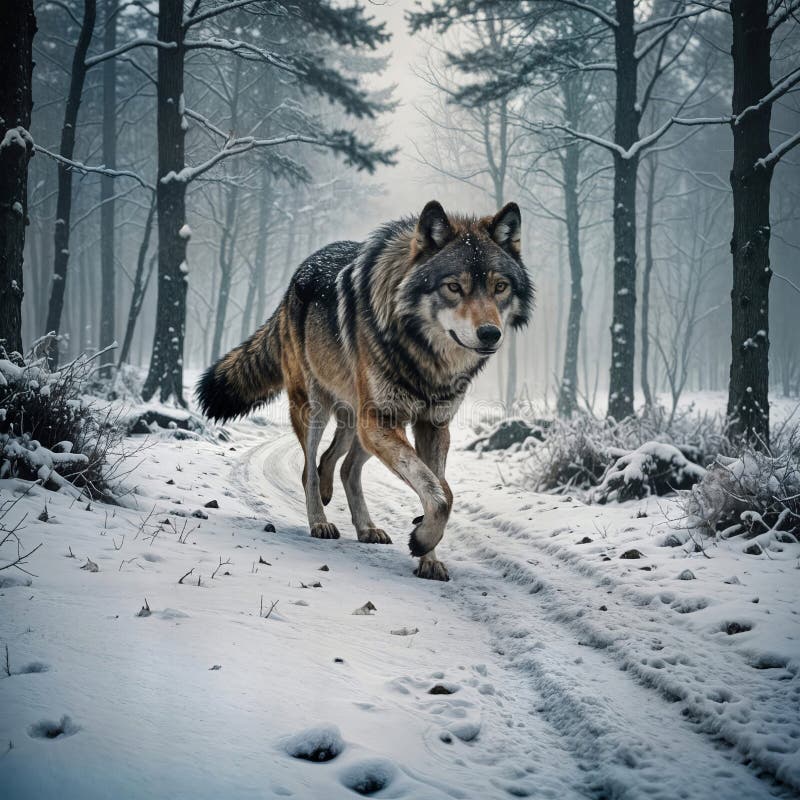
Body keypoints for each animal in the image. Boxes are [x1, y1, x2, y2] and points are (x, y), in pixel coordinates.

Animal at [197, 200, 533, 580]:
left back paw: (363, 524)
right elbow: (439, 492)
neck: (424, 357)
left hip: (356, 425)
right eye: (453, 287)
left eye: (500, 287)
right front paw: (420, 539)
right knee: (309, 468)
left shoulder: (432, 426)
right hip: (318, 410)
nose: (490, 333)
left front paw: (428, 556)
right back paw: (319, 521)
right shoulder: (380, 420)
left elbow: (440, 488)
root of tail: (294, 279)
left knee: (340, 465)